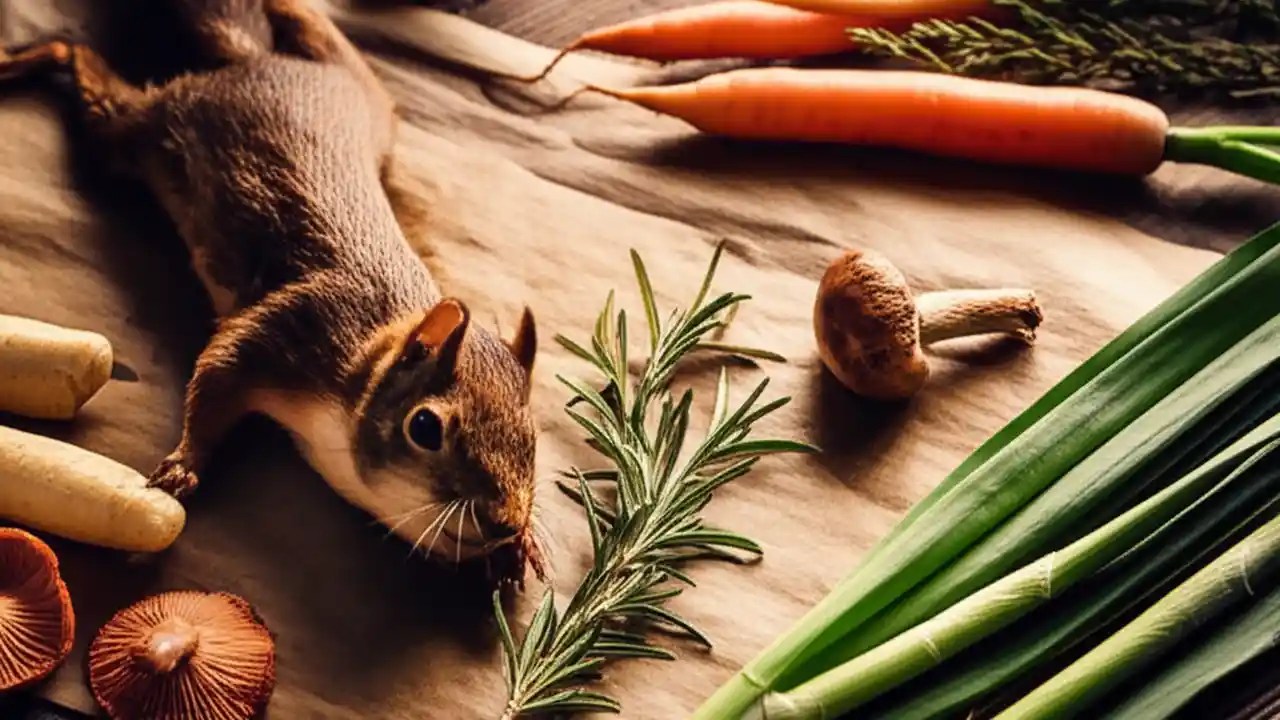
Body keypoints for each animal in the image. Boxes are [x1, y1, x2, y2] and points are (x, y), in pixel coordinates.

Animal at [0, 0, 544, 586]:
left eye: (532, 436)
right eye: (425, 426)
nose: (505, 520)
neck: (362, 360)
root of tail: (259, 64)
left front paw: (521, 545)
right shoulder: (296, 326)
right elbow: (217, 371)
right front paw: (186, 462)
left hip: (372, 104)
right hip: (148, 131)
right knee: (86, 71)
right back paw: (28, 58)